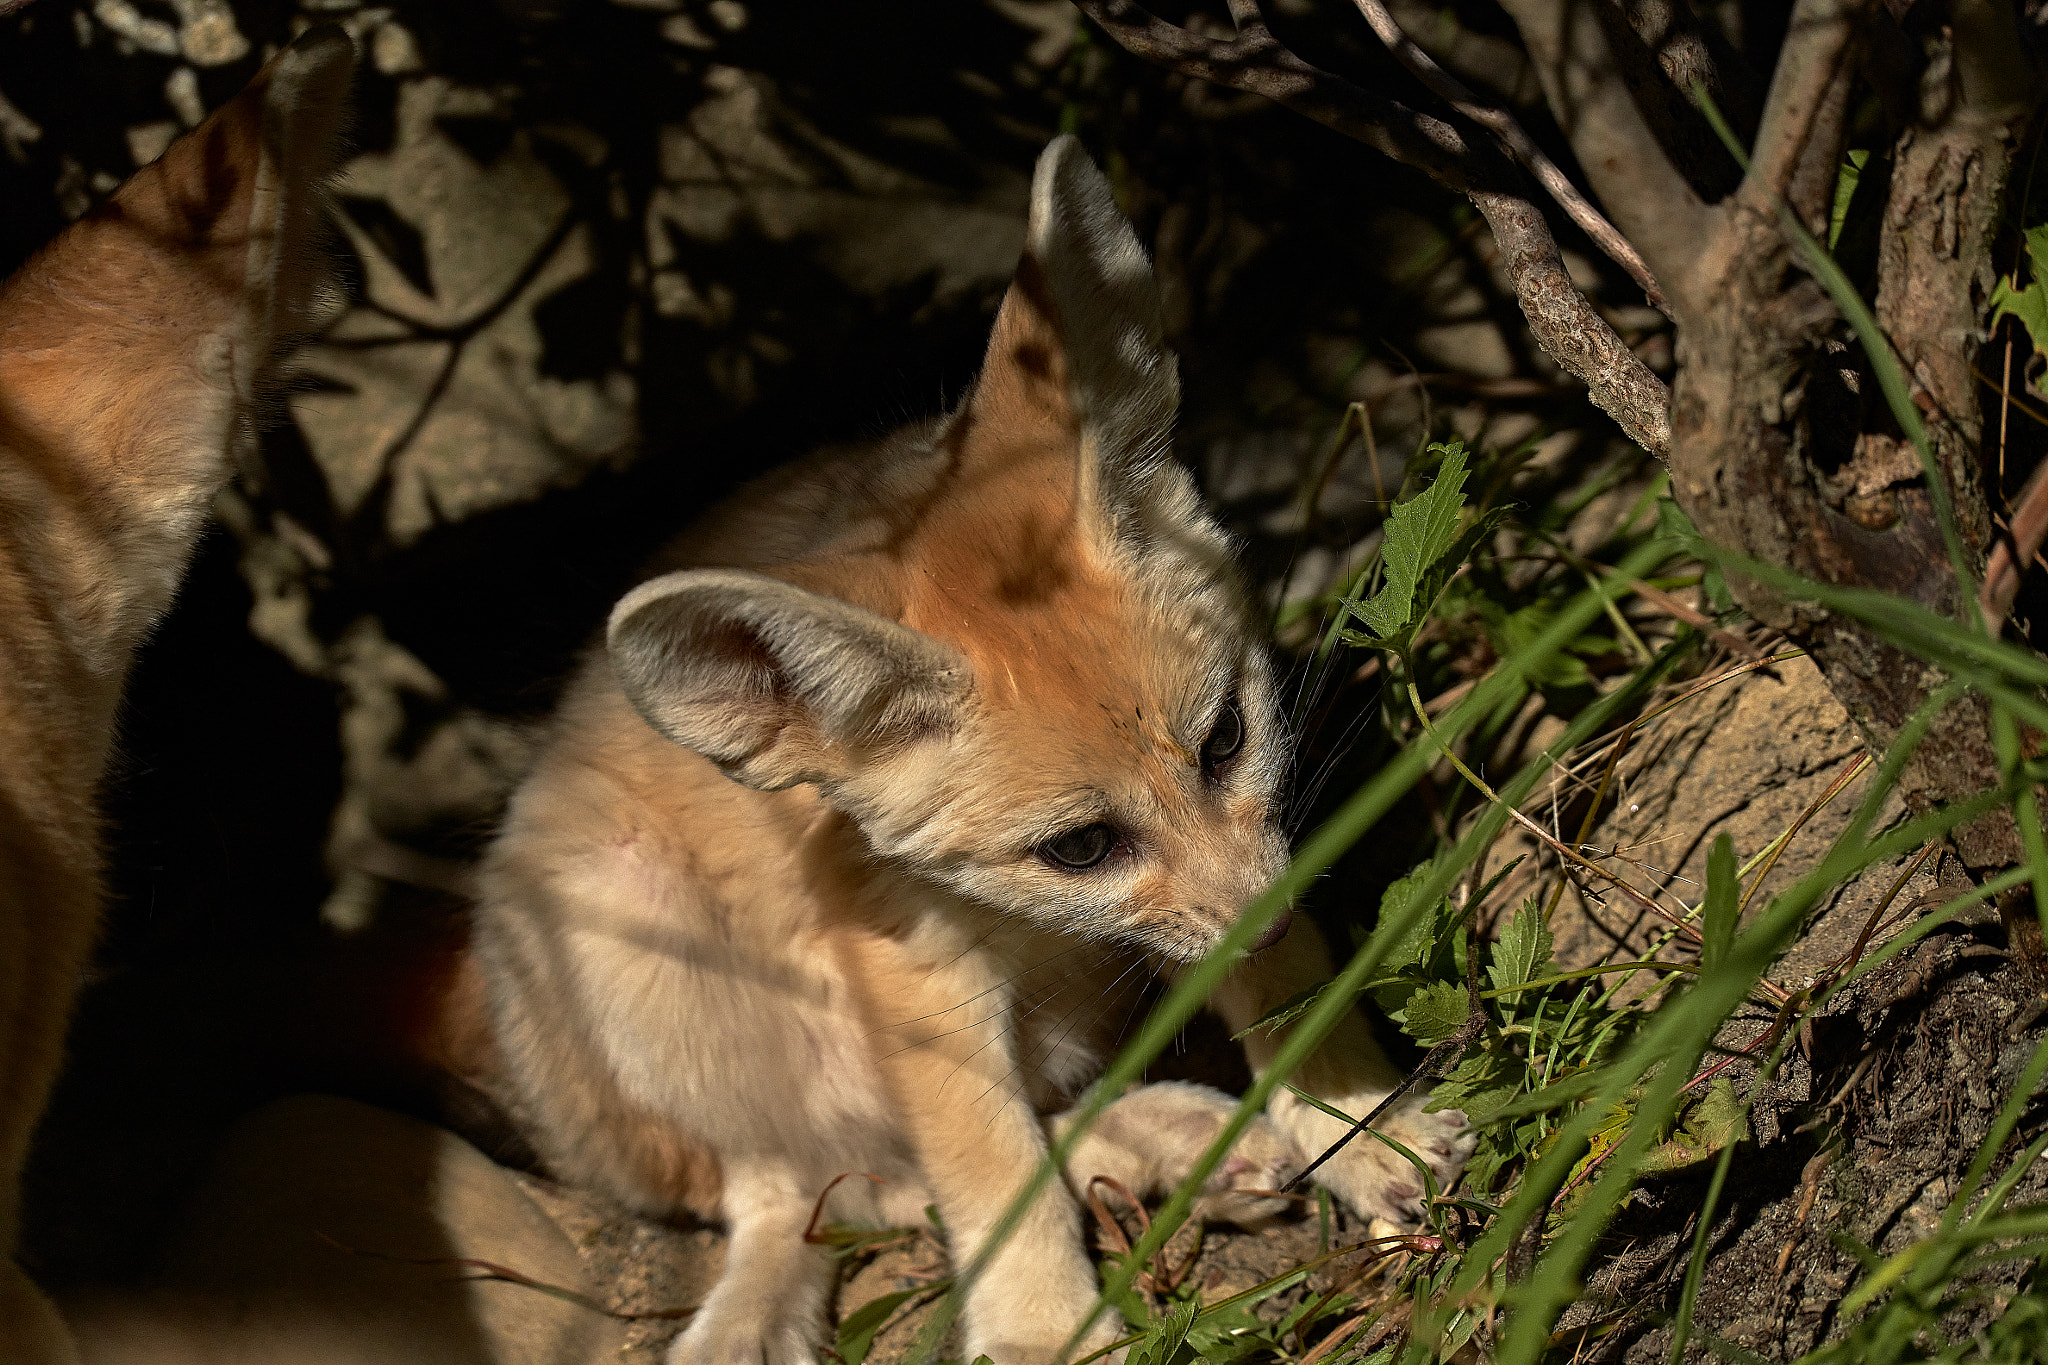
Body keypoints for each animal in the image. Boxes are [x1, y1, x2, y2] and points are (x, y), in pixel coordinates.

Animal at [473, 136, 1474, 1364]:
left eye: (1227, 738)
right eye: (1079, 846)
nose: (1273, 916)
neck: (1008, 920)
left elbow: (1276, 1004)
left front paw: (1355, 1122)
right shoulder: (914, 973)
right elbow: (990, 1170)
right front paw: (1045, 1330)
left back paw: (1175, 1141)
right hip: (619, 921)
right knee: (814, 1190)